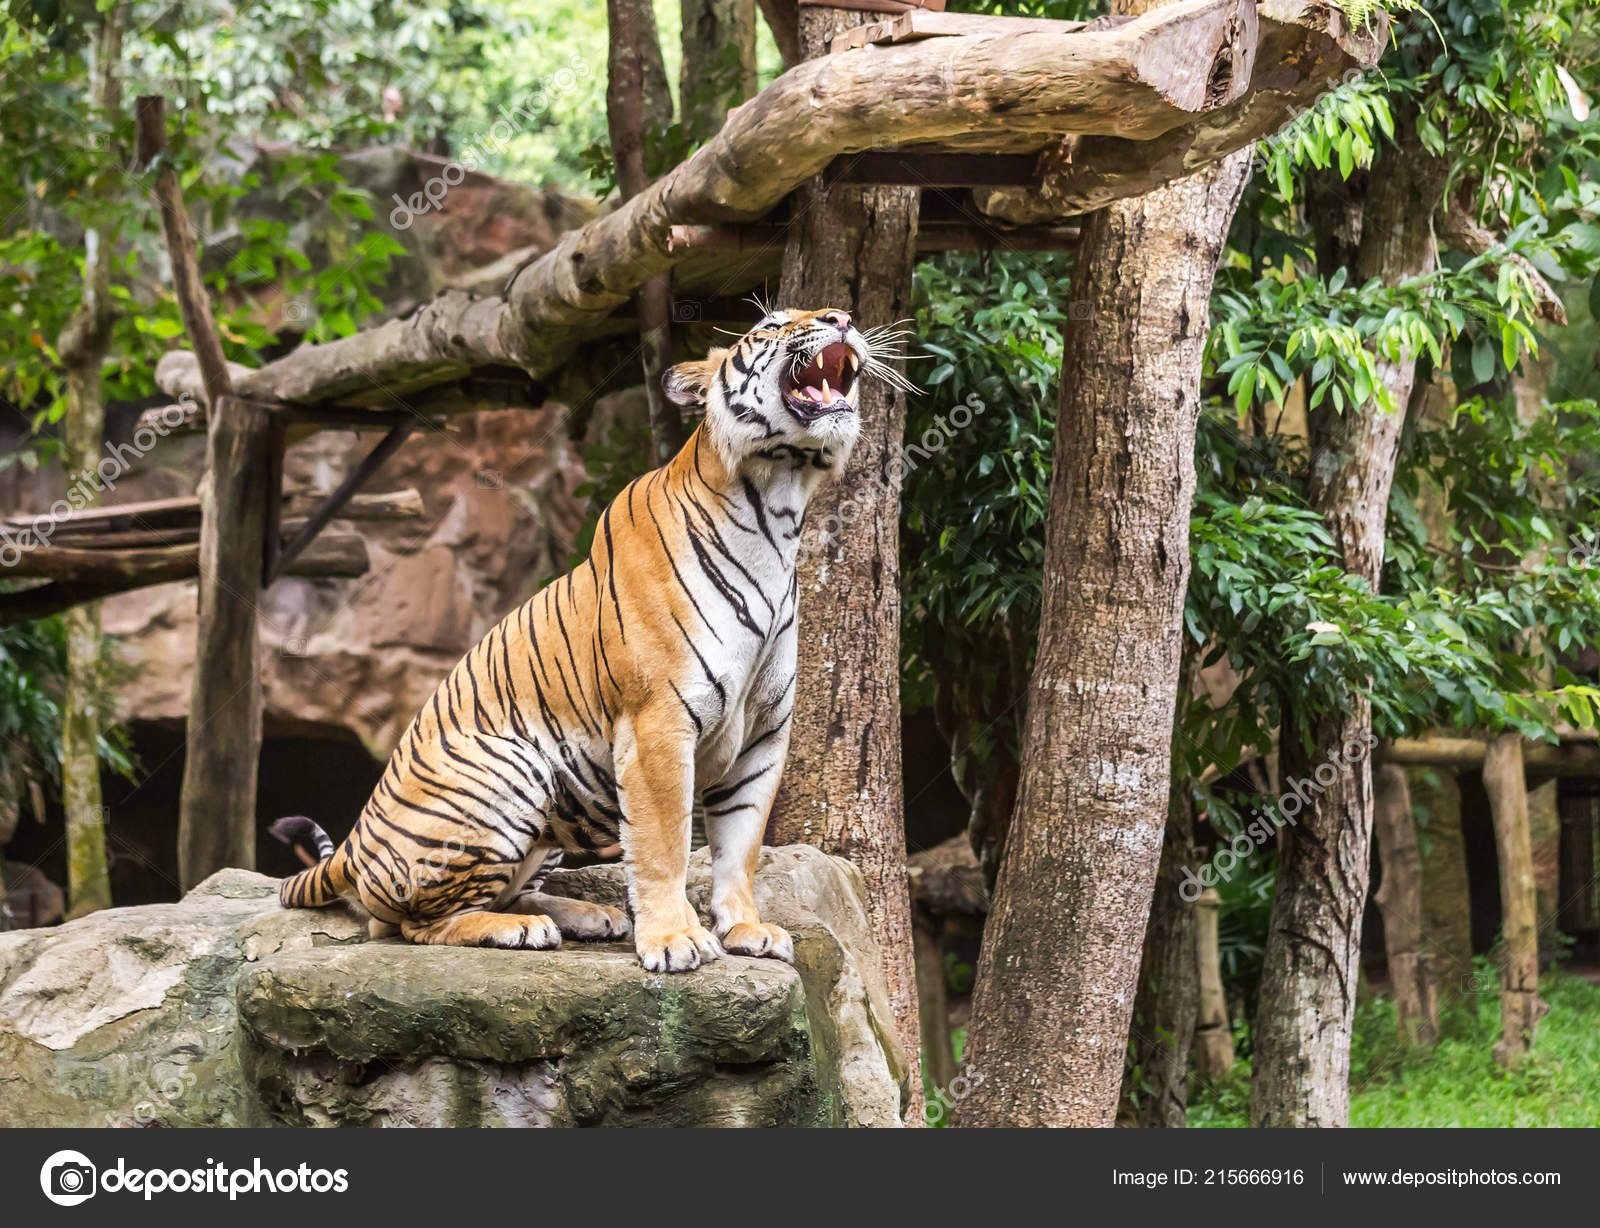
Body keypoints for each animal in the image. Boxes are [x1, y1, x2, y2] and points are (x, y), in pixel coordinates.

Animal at [271, 306, 892, 972]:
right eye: (770, 327)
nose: (842, 317)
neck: (778, 508)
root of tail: (356, 841)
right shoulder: (657, 724)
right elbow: (665, 843)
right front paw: (674, 939)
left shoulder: (763, 734)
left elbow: (740, 845)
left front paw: (746, 928)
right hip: (508, 772)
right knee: (410, 925)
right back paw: (519, 929)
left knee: (508, 891)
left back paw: (589, 916)